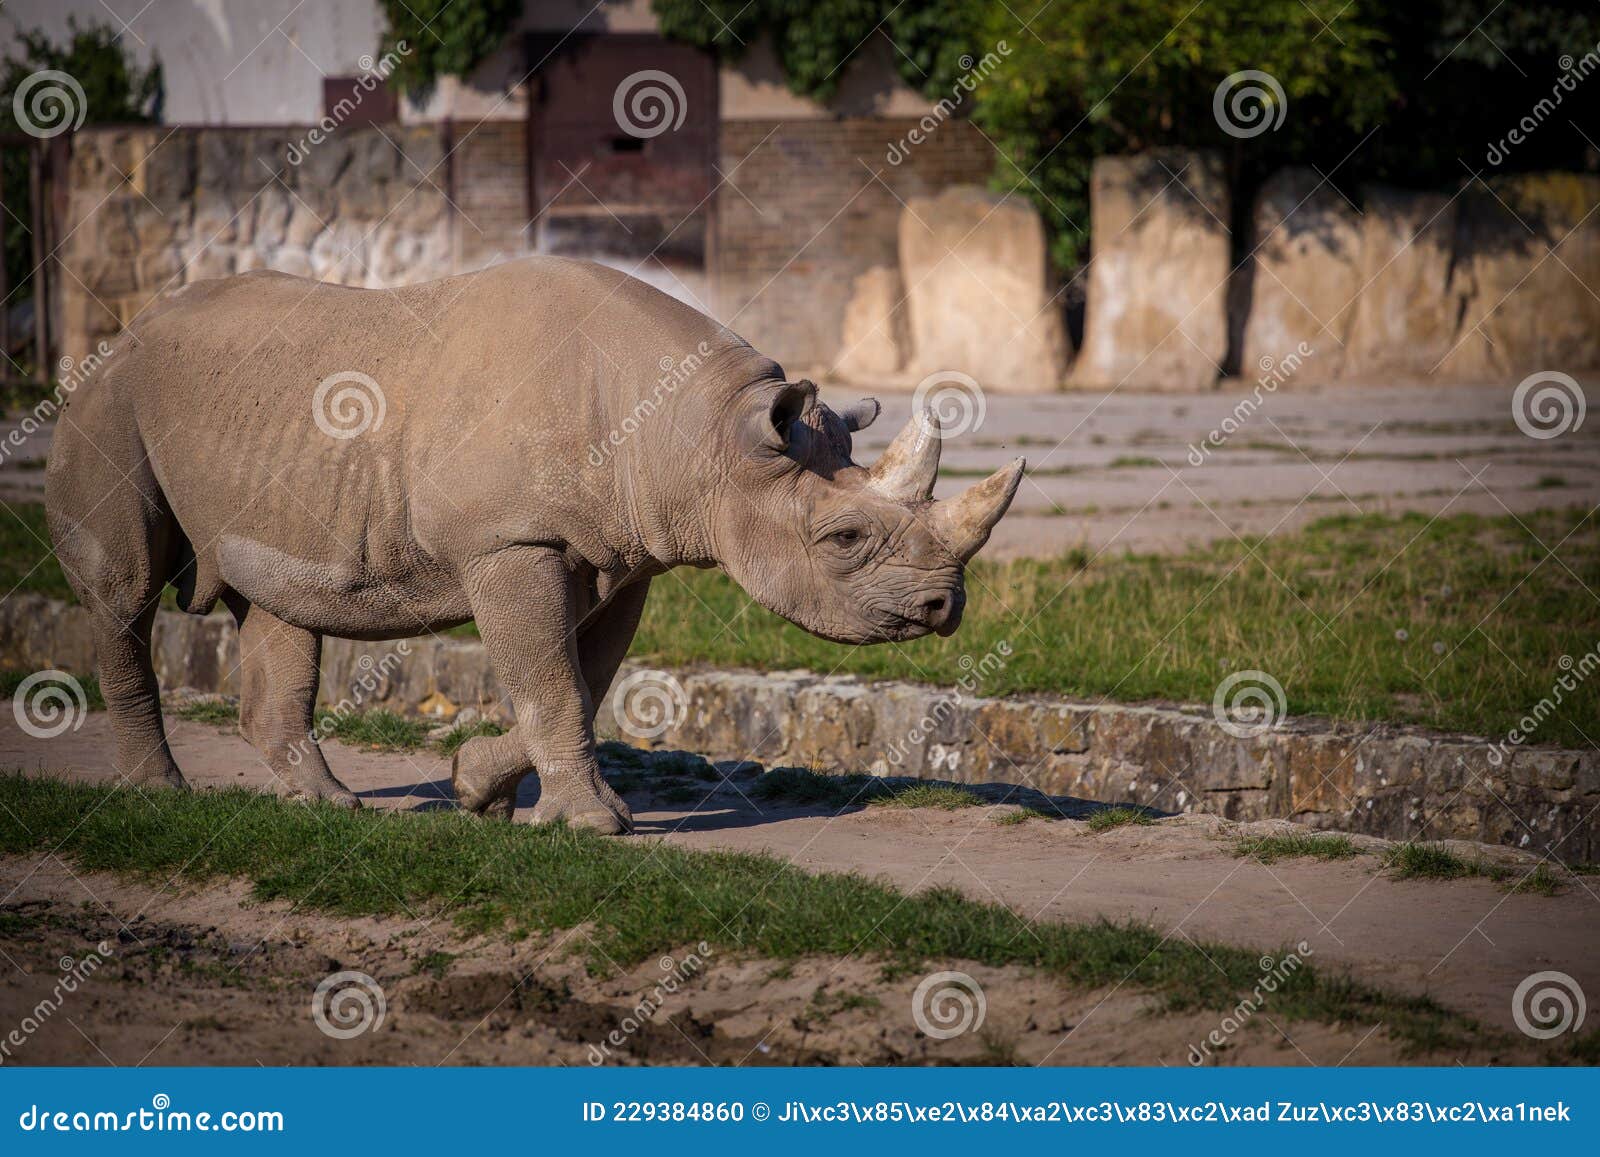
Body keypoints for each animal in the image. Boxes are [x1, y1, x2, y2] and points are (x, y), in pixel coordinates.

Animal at [45, 257, 1022, 833]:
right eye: (845, 536)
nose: (944, 606)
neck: (702, 435)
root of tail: (117, 334)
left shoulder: (626, 551)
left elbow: (581, 679)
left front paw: (476, 792)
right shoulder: (510, 543)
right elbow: (550, 677)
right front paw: (591, 825)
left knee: (277, 606)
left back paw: (328, 807)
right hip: (110, 396)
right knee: (126, 594)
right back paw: (159, 792)